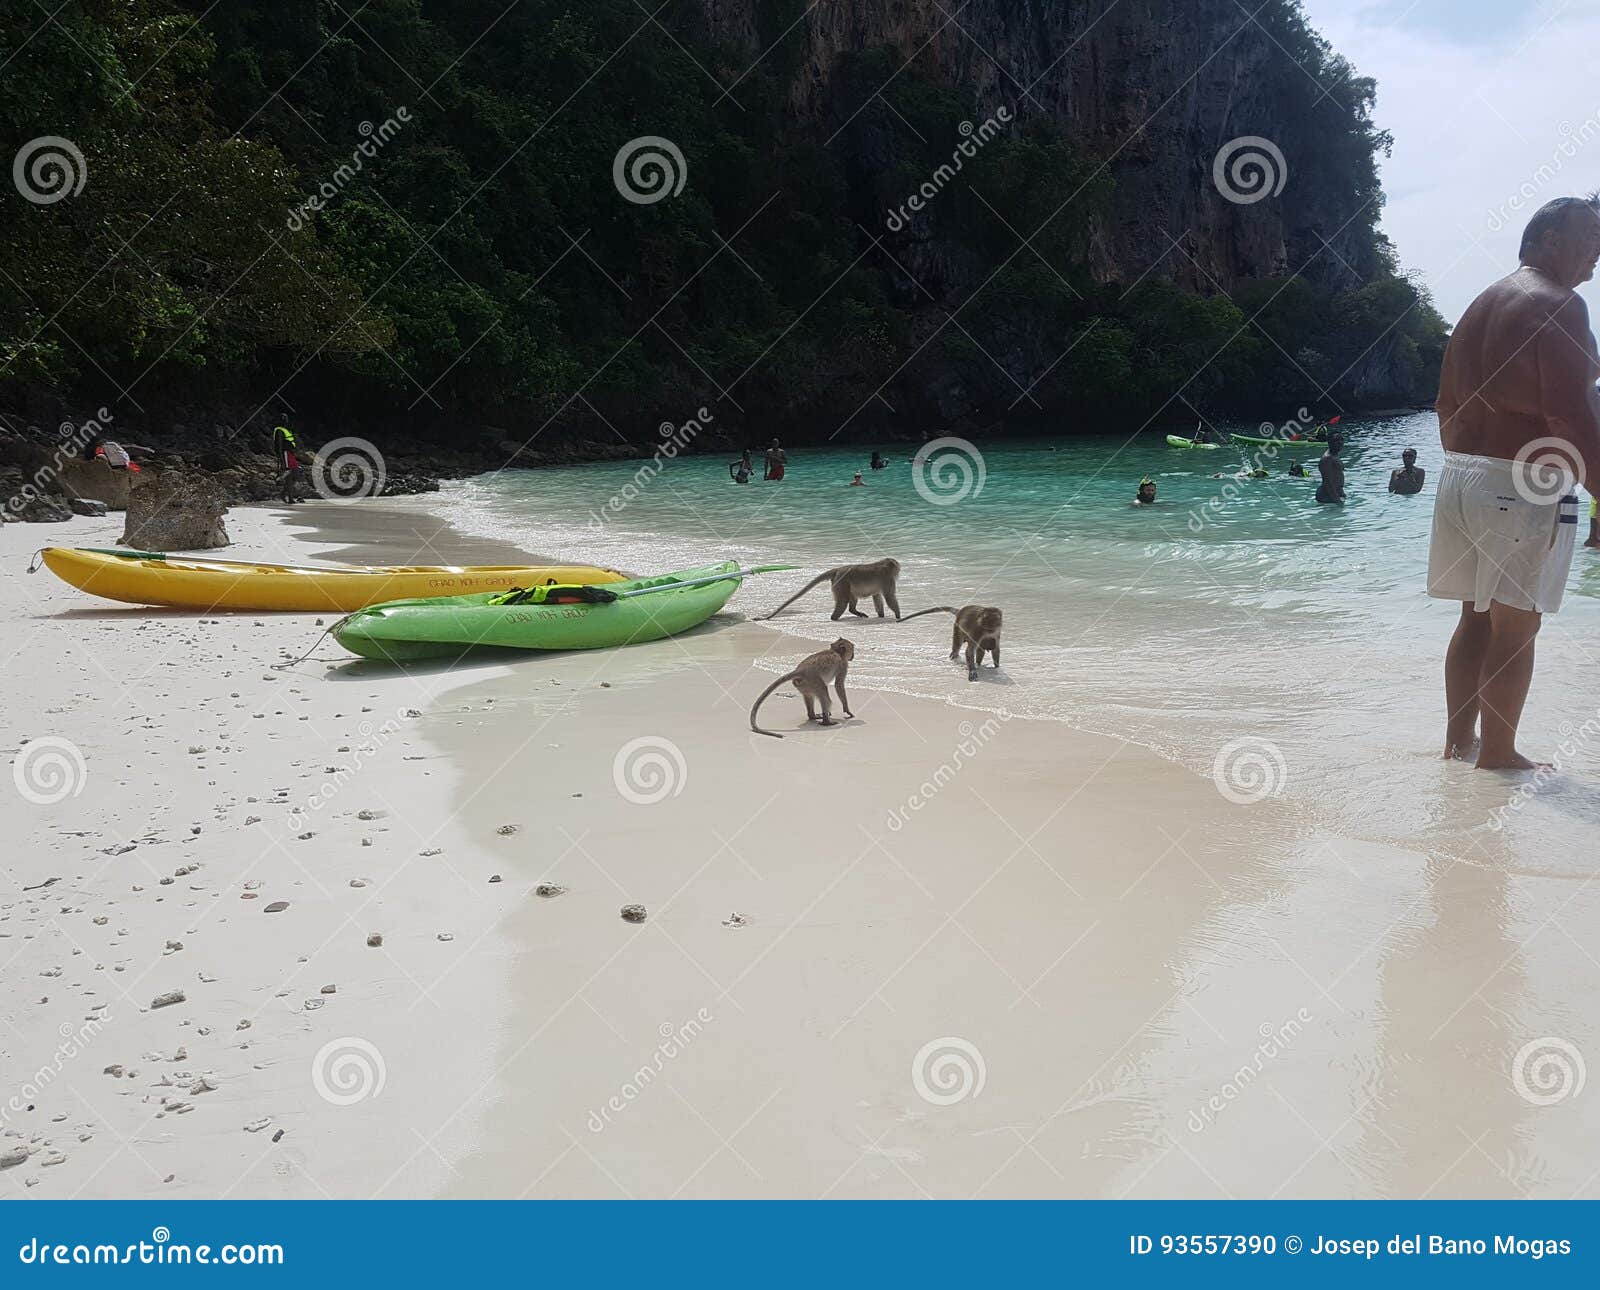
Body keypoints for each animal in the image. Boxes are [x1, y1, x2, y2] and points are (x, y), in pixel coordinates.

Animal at [759, 559, 901, 621]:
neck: (885, 565)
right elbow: (889, 597)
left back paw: (854, 612)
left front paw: (881, 615)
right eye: (897, 568)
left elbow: (877, 597)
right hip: (841, 583)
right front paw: (898, 616)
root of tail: (837, 570)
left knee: (851, 598)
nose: (899, 571)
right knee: (843, 601)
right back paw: (834, 618)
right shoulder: (888, 579)